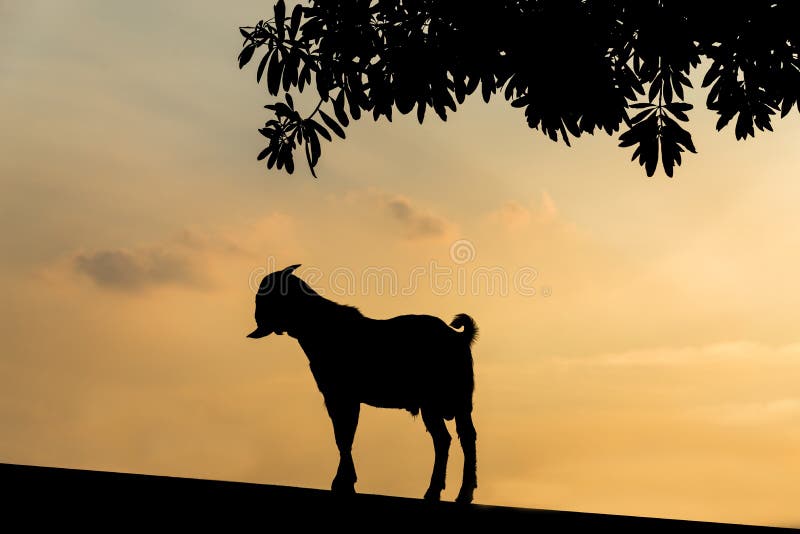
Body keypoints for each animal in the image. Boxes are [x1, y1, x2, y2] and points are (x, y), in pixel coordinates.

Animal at [247, 264, 478, 503]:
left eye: (265, 295)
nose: (256, 317)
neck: (319, 325)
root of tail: (459, 337)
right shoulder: (343, 397)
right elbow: (344, 435)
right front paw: (345, 482)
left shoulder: (339, 396)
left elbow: (343, 436)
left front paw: (343, 483)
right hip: (446, 404)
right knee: (452, 438)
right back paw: (447, 492)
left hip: (443, 401)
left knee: (456, 439)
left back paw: (452, 492)